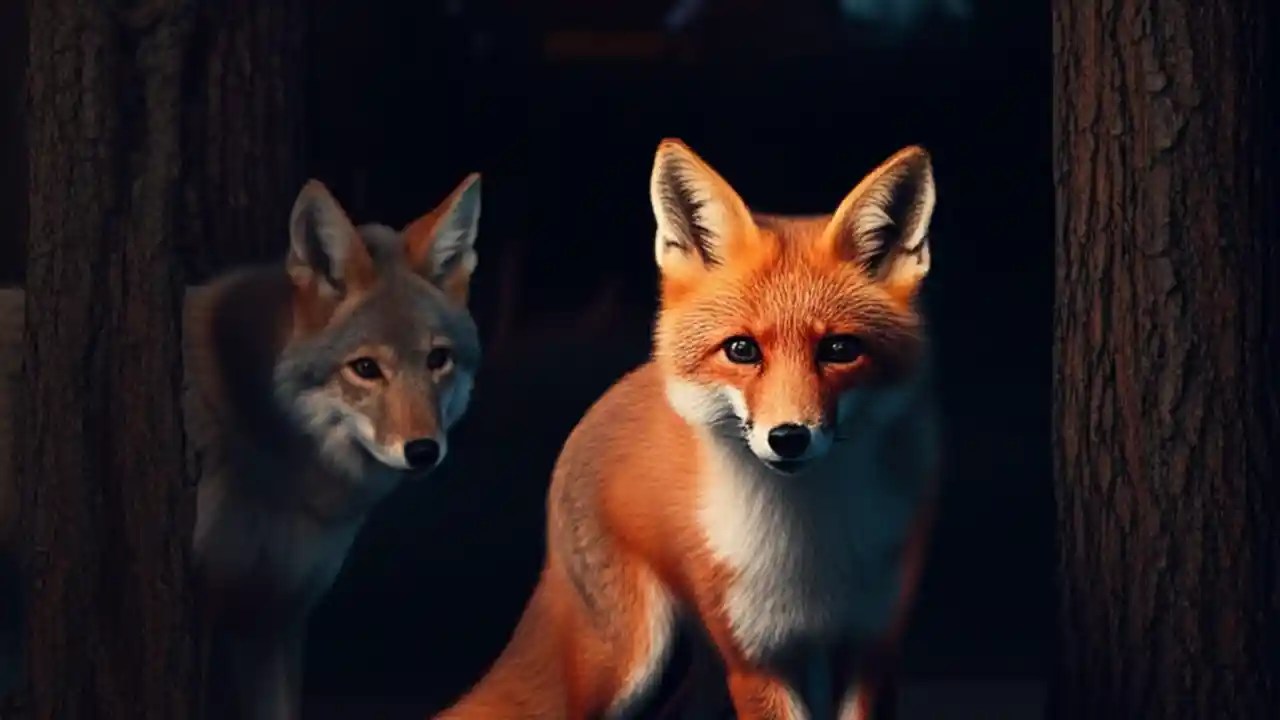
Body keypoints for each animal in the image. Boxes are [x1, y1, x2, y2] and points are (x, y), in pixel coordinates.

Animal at [437, 140, 941, 720]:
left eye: (839, 350)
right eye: (741, 350)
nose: (788, 437)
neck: (810, 549)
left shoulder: (869, 652)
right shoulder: (755, 663)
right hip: (630, 659)